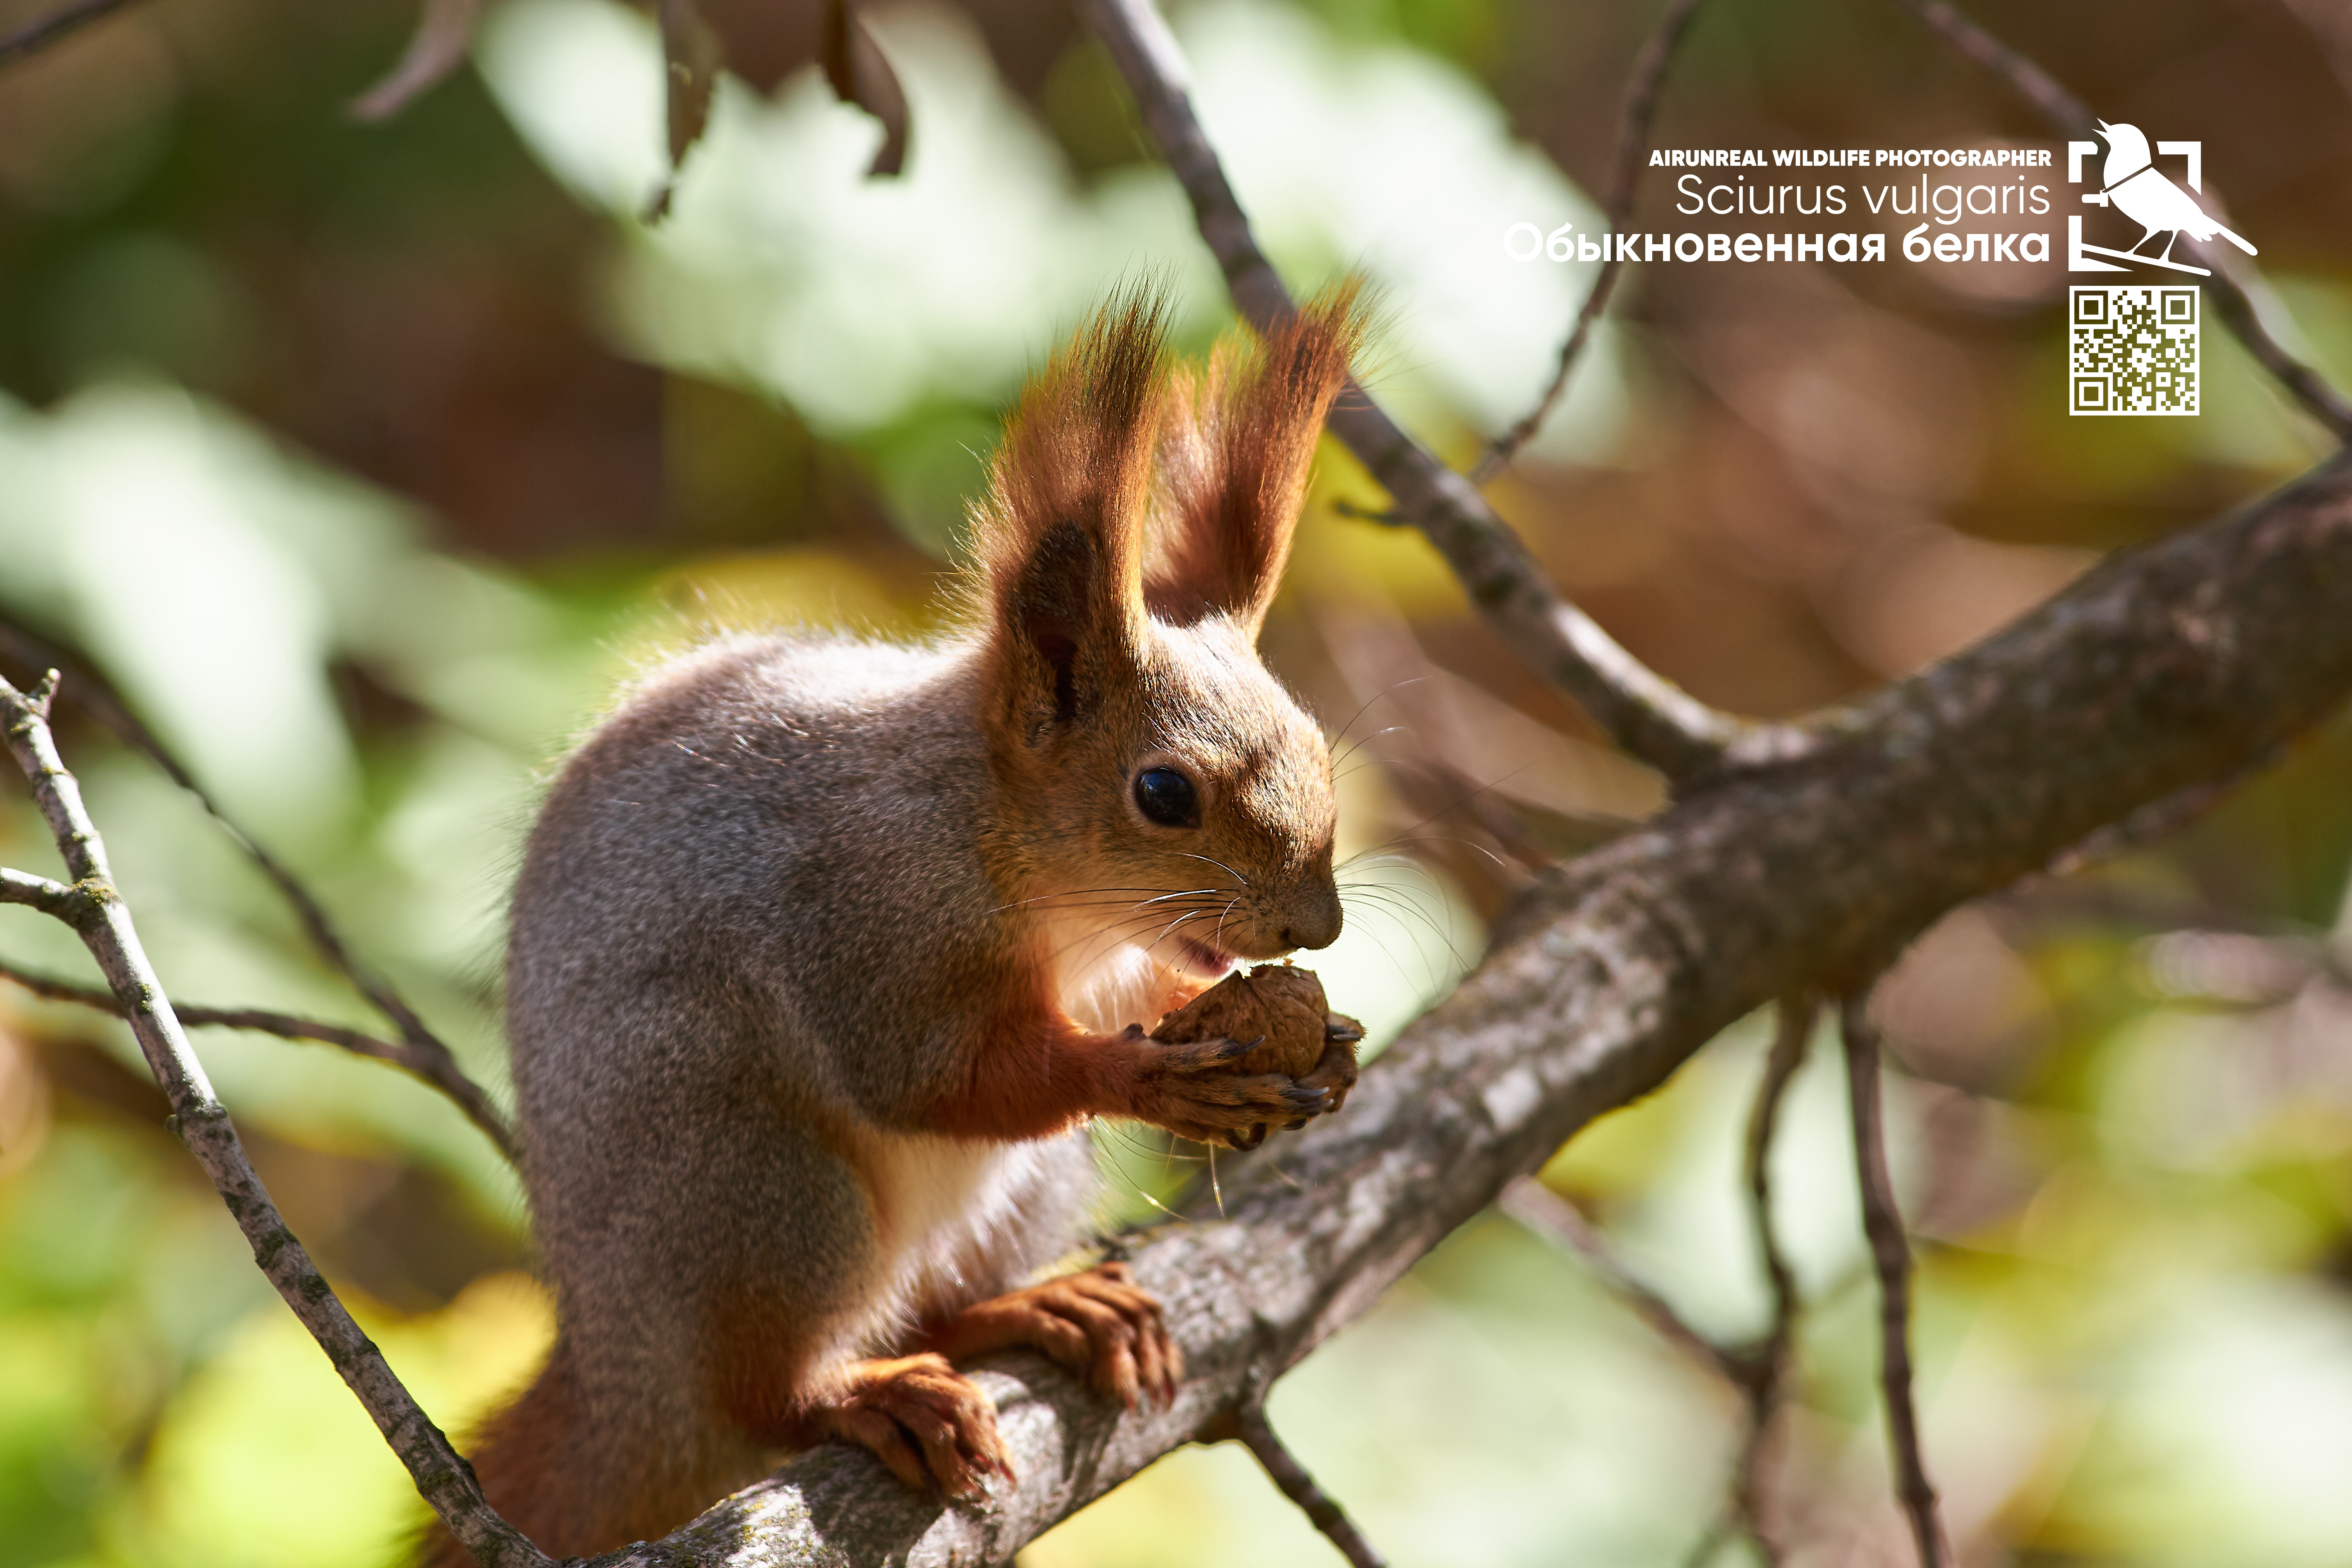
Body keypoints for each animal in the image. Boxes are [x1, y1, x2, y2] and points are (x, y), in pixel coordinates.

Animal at [419, 285, 1364, 1561]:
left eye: (1318, 743)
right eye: (1163, 793)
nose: (1316, 926)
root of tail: (617, 1380)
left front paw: (1315, 1041)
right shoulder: (864, 918)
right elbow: (928, 1077)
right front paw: (1147, 1079)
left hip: (1023, 1190)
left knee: (940, 1305)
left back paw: (1036, 1306)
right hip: (746, 1186)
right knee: (762, 1391)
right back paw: (866, 1393)